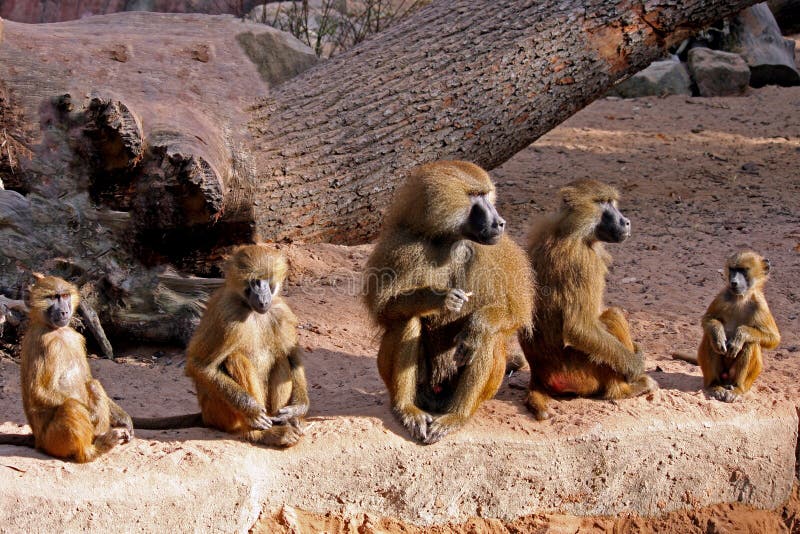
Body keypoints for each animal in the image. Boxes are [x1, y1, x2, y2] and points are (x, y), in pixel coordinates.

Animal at [9, 274, 132, 462]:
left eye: (65, 296)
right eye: (52, 297)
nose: (64, 312)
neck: (56, 331)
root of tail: (38, 441)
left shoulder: (76, 338)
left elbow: (86, 378)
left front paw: (124, 419)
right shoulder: (46, 345)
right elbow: (39, 391)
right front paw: (92, 416)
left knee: (93, 384)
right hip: (53, 441)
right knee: (72, 406)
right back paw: (92, 450)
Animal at [364, 161, 535, 444]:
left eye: (487, 195)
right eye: (475, 197)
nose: (500, 223)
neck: (451, 239)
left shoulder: (502, 251)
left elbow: (516, 313)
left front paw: (477, 325)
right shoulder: (400, 246)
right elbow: (385, 310)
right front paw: (440, 297)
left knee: (487, 338)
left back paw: (457, 416)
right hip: (421, 386)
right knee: (407, 321)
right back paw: (407, 409)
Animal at [518, 179, 657, 421]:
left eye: (612, 202)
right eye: (602, 203)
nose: (626, 221)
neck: (570, 229)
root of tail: (538, 374)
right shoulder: (584, 262)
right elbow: (579, 327)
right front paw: (637, 365)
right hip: (582, 373)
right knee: (612, 316)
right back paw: (628, 389)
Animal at [694, 251, 780, 402]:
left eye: (743, 270)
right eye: (733, 269)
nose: (733, 282)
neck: (741, 298)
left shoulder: (761, 305)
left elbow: (774, 339)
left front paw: (740, 335)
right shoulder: (722, 296)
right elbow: (707, 320)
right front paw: (718, 334)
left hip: (745, 380)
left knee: (750, 343)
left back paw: (736, 389)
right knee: (710, 338)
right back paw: (714, 385)